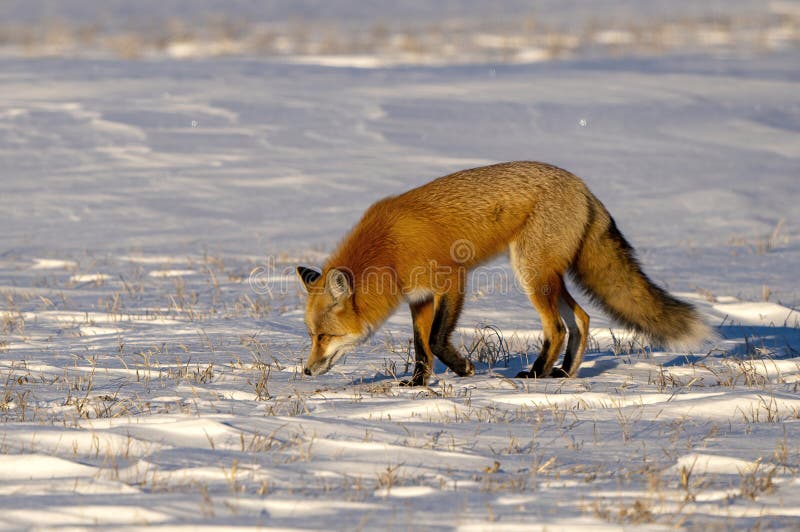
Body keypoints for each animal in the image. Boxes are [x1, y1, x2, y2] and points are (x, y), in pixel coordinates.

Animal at [297, 161, 711, 385]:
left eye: (324, 336)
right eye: (312, 336)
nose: (306, 371)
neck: (388, 248)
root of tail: (582, 186)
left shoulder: (451, 280)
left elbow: (437, 339)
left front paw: (464, 369)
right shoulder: (419, 298)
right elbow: (421, 347)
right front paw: (416, 384)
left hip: (531, 273)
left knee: (557, 327)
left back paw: (537, 373)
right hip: (549, 276)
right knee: (581, 318)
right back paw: (564, 373)